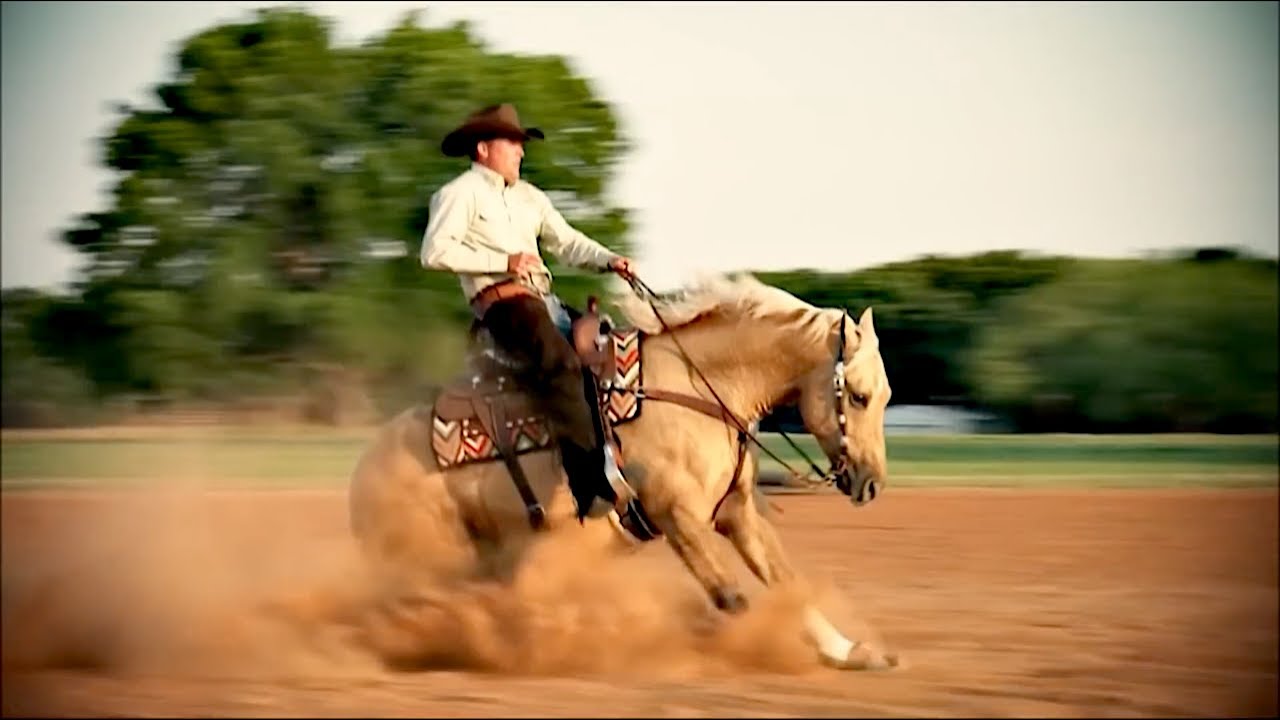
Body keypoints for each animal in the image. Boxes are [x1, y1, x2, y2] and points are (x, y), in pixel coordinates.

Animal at [346, 273, 897, 670]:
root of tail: (364, 472)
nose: (871, 484)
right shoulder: (677, 518)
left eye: (885, 395)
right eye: (859, 396)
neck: (699, 389)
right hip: (432, 554)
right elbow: (733, 597)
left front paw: (851, 652)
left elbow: (783, 580)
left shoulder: (735, 512)